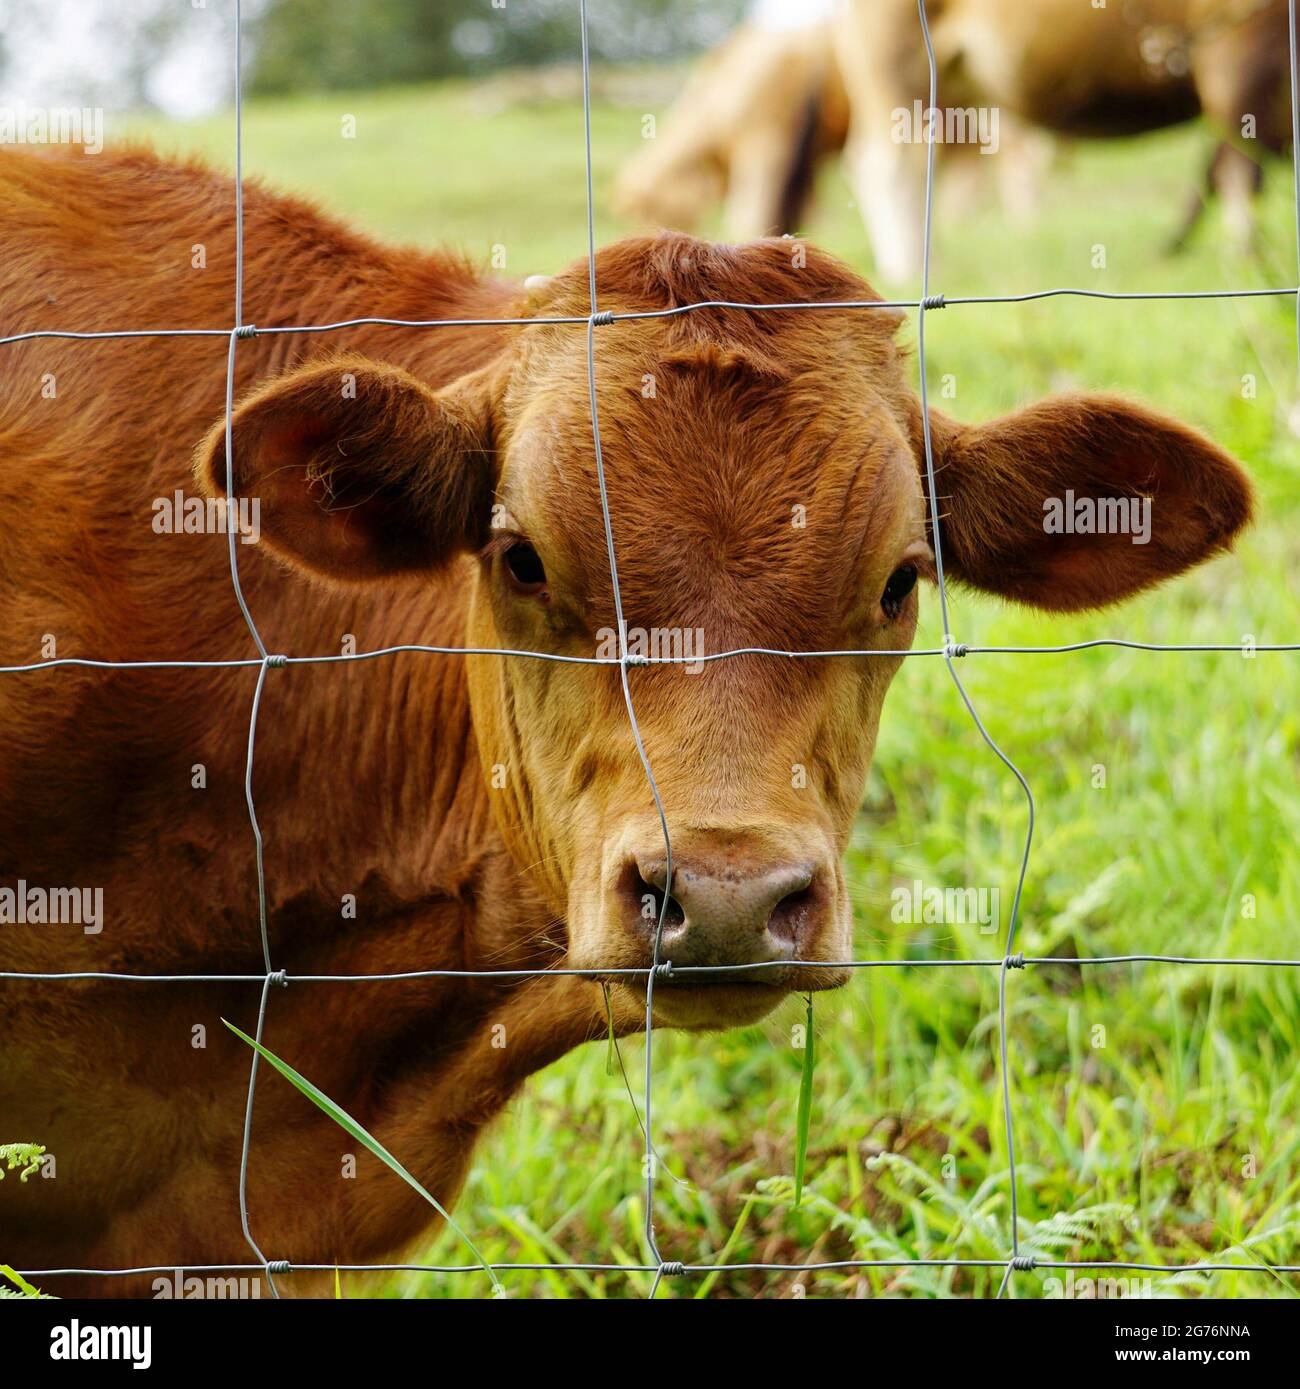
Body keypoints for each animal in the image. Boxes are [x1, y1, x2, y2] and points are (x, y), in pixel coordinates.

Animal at [836, 0, 1292, 283]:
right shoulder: (1237, 52)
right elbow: (1240, 170)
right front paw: (1246, 257)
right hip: (897, 64)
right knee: (889, 167)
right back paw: (911, 267)